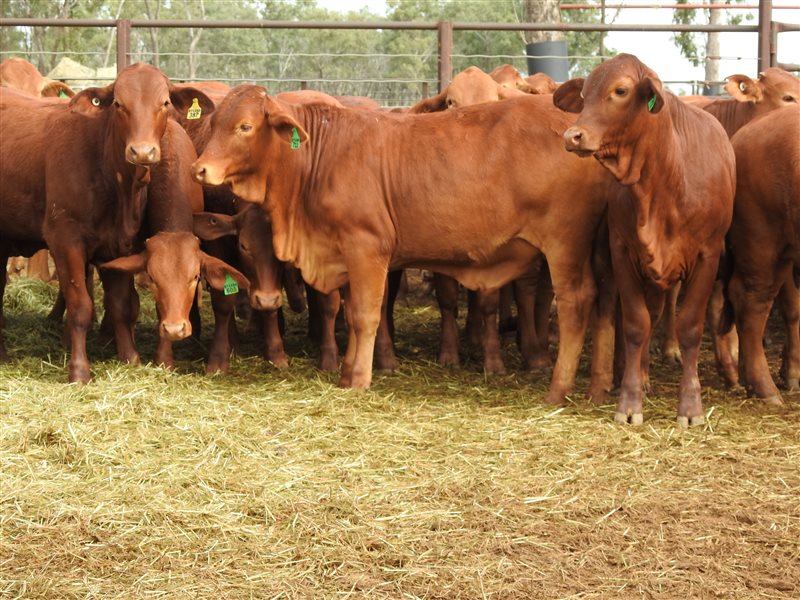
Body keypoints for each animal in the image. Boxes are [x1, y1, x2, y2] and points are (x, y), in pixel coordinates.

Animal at [0, 63, 217, 382]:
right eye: (118, 104)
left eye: (164, 103)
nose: (142, 151)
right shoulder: (65, 241)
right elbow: (81, 307)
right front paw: (79, 370)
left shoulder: (119, 245)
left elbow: (120, 305)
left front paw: (131, 358)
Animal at [192, 85, 616, 405]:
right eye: (213, 124)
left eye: (245, 126)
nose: (200, 169)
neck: (317, 159)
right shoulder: (347, 254)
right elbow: (351, 314)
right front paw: (346, 371)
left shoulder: (367, 247)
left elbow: (365, 315)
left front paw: (359, 379)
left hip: (564, 245)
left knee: (576, 305)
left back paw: (557, 389)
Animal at [555, 53, 736, 426]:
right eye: (584, 94)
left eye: (620, 90)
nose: (573, 135)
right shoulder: (624, 252)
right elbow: (637, 325)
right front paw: (630, 402)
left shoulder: (707, 256)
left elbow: (690, 327)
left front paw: (691, 408)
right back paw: (644, 375)